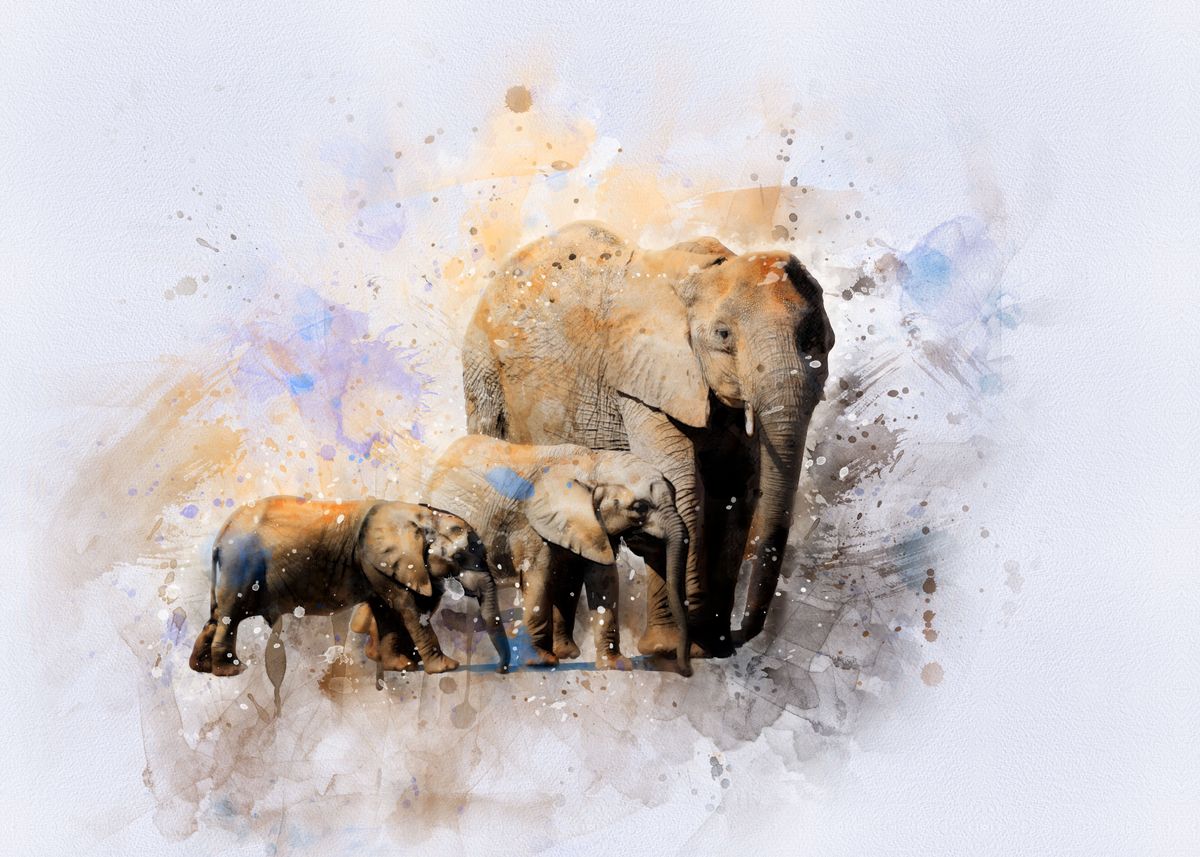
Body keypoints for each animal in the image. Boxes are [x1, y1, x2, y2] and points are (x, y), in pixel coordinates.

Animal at [189, 496, 510, 710]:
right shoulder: (377, 559)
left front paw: (401, 665)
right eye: (460, 556)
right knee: (229, 616)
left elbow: (386, 608)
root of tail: (222, 534)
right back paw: (231, 671)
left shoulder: (378, 565)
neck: (421, 515)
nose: (501, 671)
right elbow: (408, 608)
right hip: (241, 565)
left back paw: (201, 668)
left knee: (216, 616)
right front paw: (445, 668)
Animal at [354, 435, 692, 674]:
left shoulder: (592, 525)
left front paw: (617, 666)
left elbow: (604, 581)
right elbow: (539, 579)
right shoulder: (530, 526)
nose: (685, 670)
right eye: (640, 508)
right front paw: (542, 662)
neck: (592, 461)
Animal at [462, 222, 834, 658]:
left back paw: (564, 653)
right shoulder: (639, 381)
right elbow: (681, 483)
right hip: (482, 372)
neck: (702, 274)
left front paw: (709, 647)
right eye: (723, 335)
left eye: (819, 341)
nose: (738, 636)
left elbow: (736, 491)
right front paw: (671, 649)